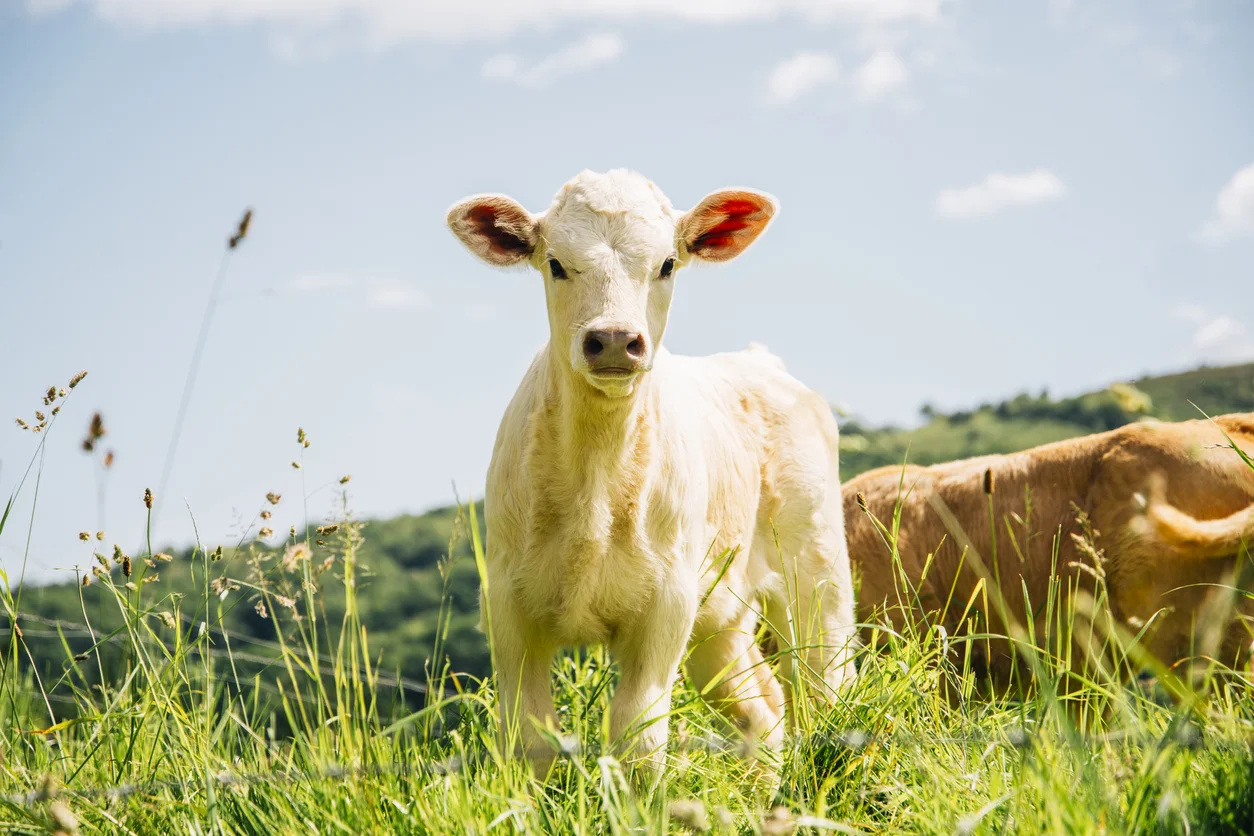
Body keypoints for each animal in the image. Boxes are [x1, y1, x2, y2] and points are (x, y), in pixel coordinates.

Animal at [446, 169, 857, 777]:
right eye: (556, 264)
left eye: (667, 263)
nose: (615, 339)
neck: (595, 477)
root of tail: (757, 360)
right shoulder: (509, 608)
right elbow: (531, 740)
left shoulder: (665, 605)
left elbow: (637, 738)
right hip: (720, 616)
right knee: (763, 708)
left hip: (817, 573)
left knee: (825, 688)